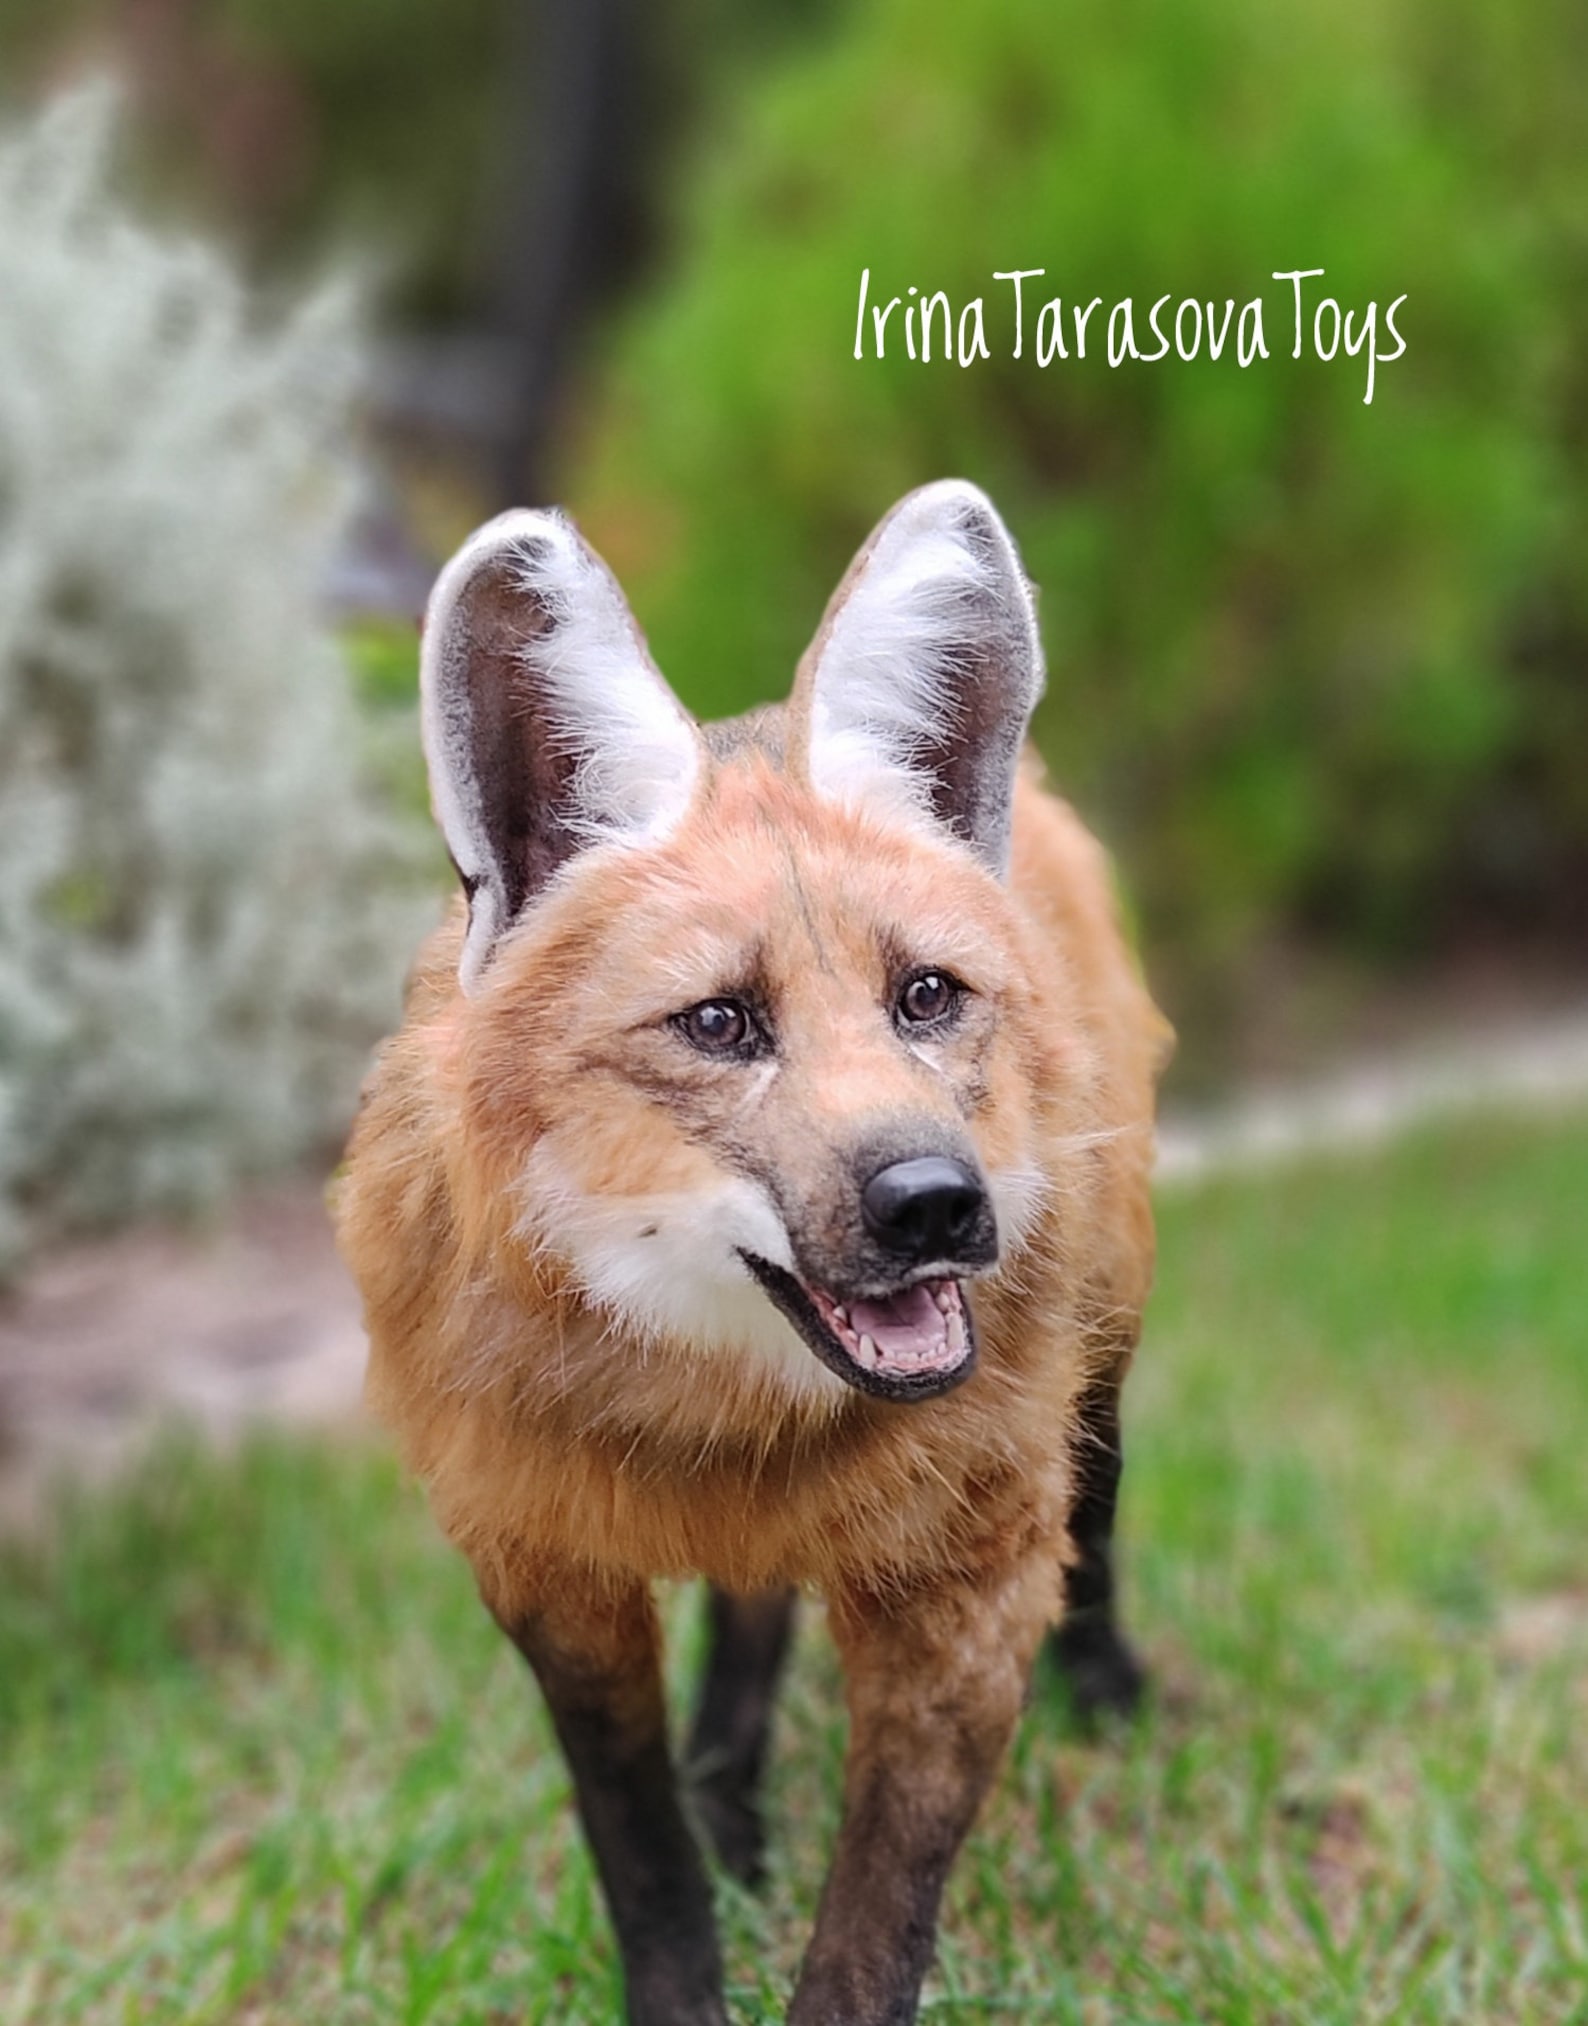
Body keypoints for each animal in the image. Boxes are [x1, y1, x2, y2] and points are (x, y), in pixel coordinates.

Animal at [336, 480, 1172, 2024]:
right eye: (720, 1023)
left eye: (924, 998)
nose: (936, 1204)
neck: (709, 1415)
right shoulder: (541, 1561)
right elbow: (644, 1857)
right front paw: (700, 1896)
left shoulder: (963, 1588)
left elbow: (872, 1932)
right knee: (751, 1618)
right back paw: (737, 1804)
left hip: (1104, 1353)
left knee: (1096, 1506)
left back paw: (1109, 1685)